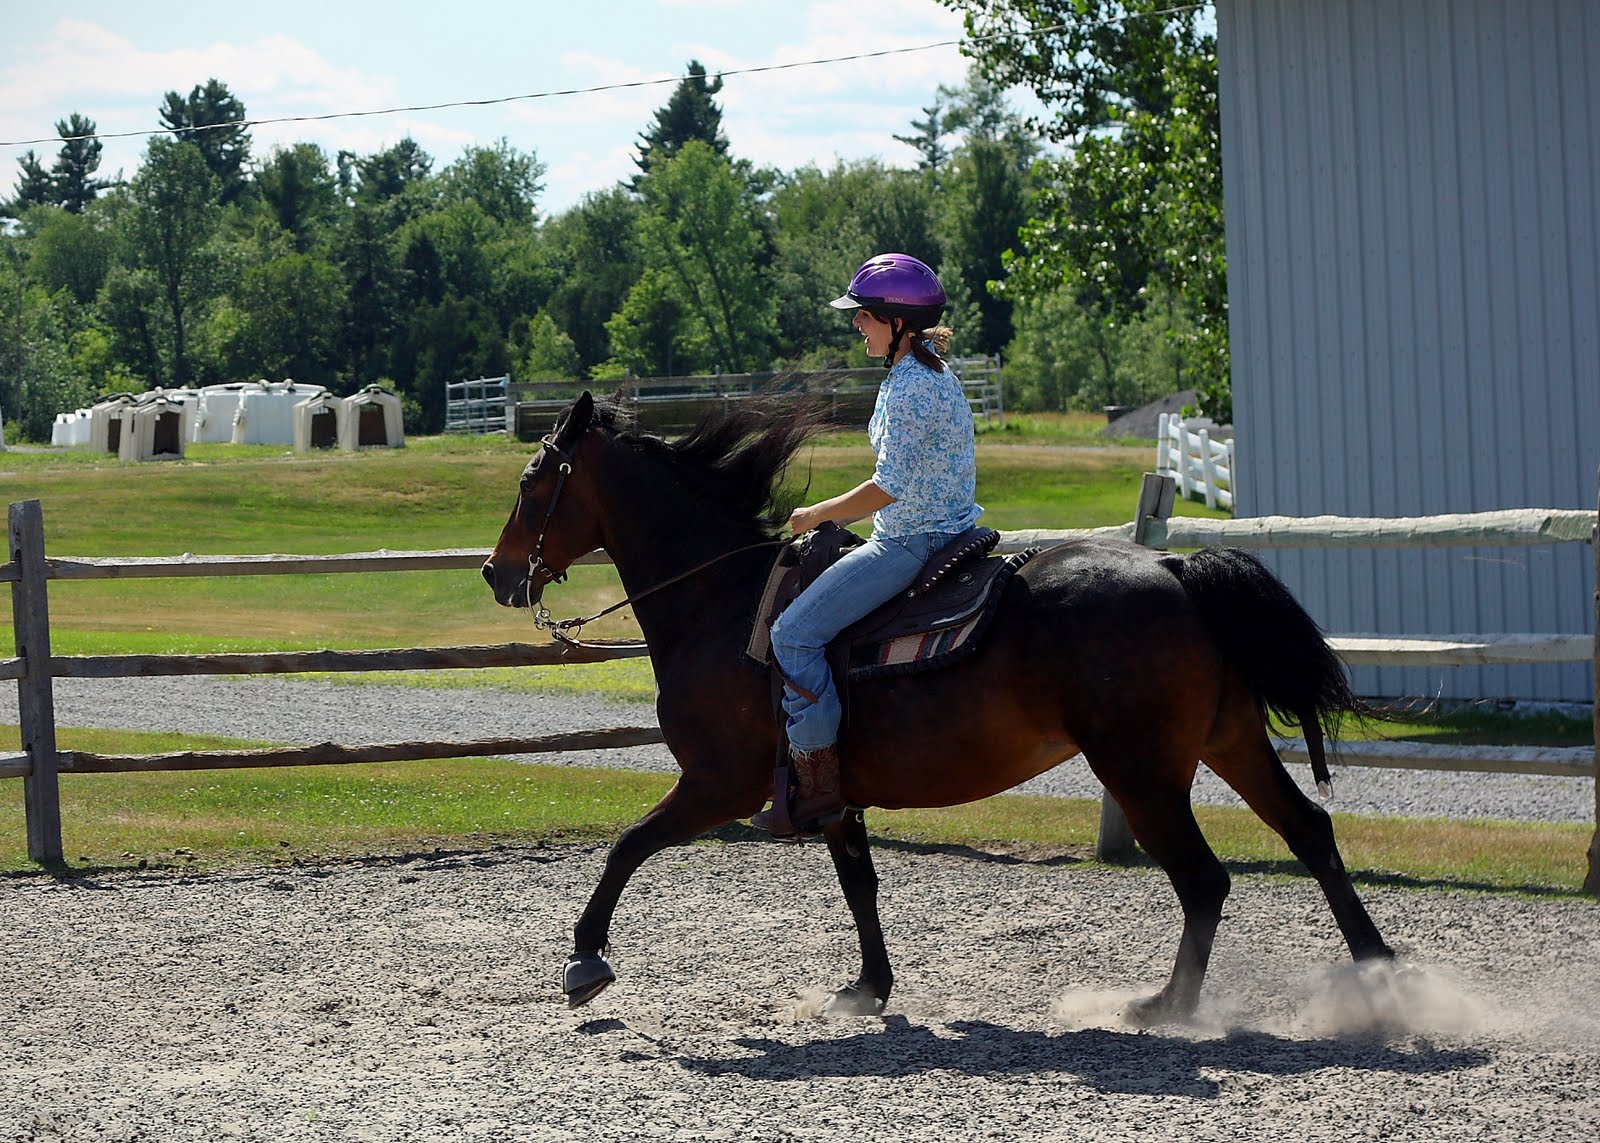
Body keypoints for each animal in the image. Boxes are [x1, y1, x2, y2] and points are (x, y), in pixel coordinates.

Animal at [482, 391, 1393, 1020]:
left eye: (532, 481)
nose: (496, 572)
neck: (725, 605)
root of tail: (1174, 569)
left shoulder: (719, 783)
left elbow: (627, 844)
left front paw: (585, 961)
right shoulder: (828, 788)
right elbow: (860, 882)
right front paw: (866, 988)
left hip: (1142, 770)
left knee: (1205, 878)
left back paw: (1168, 1006)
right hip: (1229, 741)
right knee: (1311, 831)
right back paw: (1381, 973)